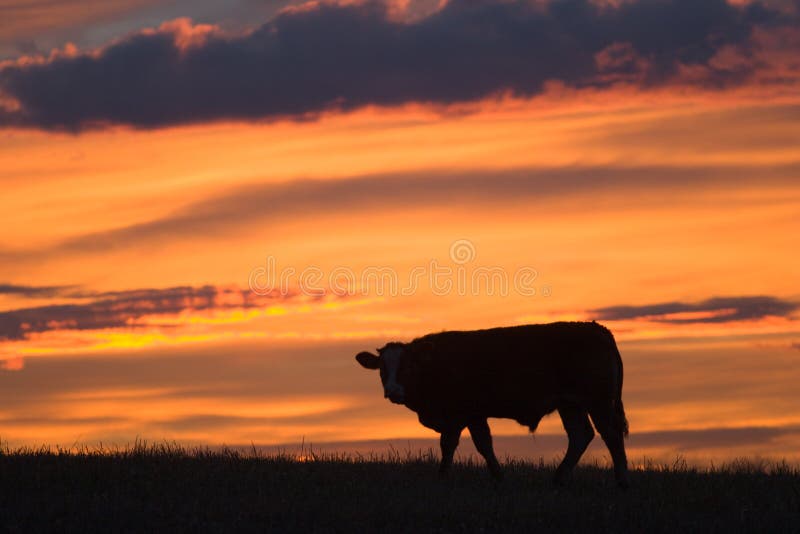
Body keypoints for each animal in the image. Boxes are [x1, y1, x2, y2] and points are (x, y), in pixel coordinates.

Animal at [356, 321, 629, 488]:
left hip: (598, 402)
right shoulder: (471, 415)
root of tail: (597, 329)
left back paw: (621, 483)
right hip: (570, 404)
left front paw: (445, 478)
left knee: (611, 435)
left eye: (409, 366)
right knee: (580, 435)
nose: (392, 391)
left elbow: (460, 445)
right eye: (382, 369)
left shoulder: (464, 413)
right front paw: (498, 477)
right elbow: (480, 445)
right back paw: (558, 479)